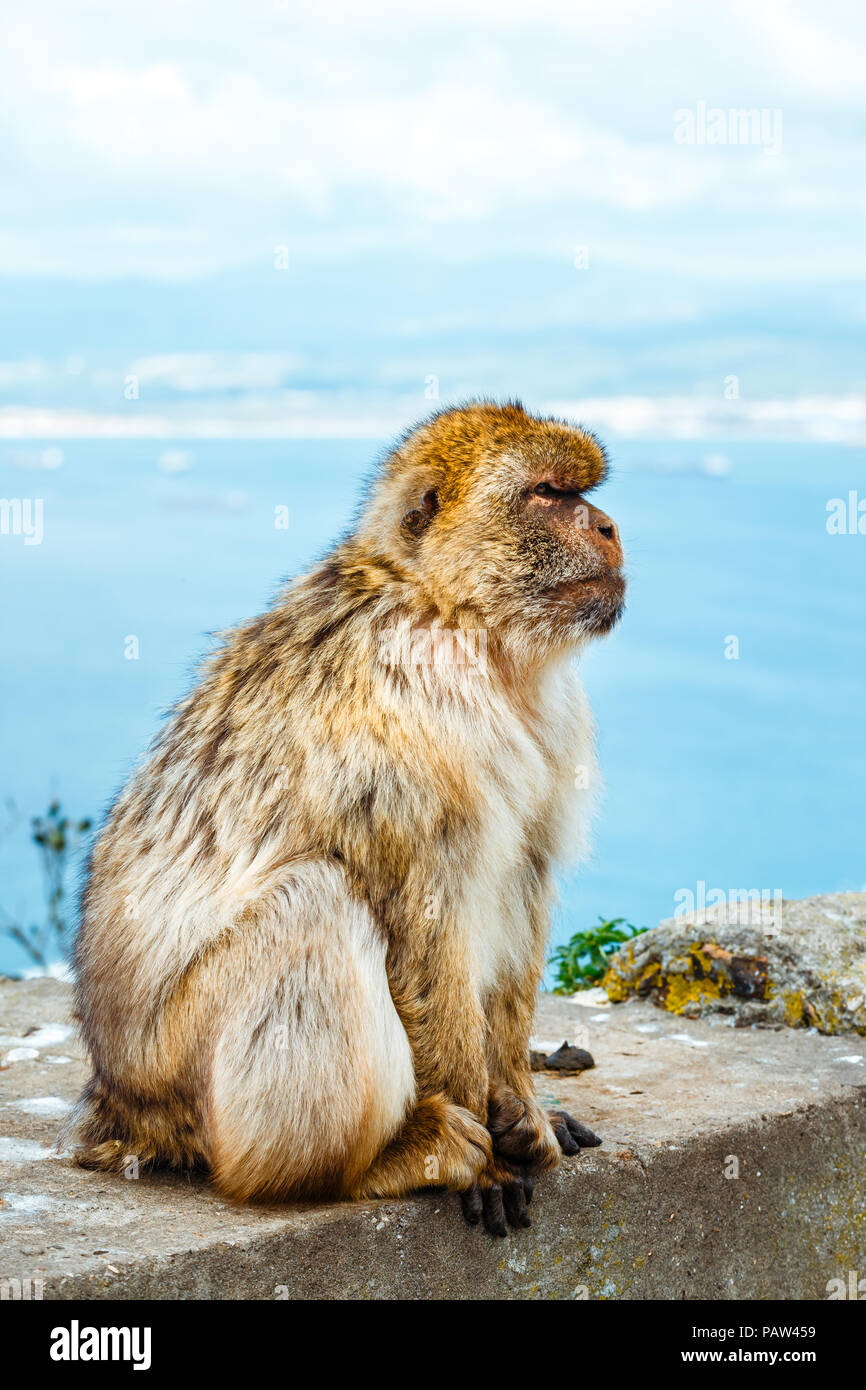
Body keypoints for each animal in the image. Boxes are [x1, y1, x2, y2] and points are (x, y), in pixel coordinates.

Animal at [69, 399, 625, 1237]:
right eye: (548, 494)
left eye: (579, 491)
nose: (609, 526)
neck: (465, 620)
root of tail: (117, 1103)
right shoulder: (408, 730)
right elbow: (424, 925)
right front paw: (488, 1155)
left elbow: (522, 882)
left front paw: (521, 1113)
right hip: (182, 1081)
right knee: (315, 902)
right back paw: (373, 1163)